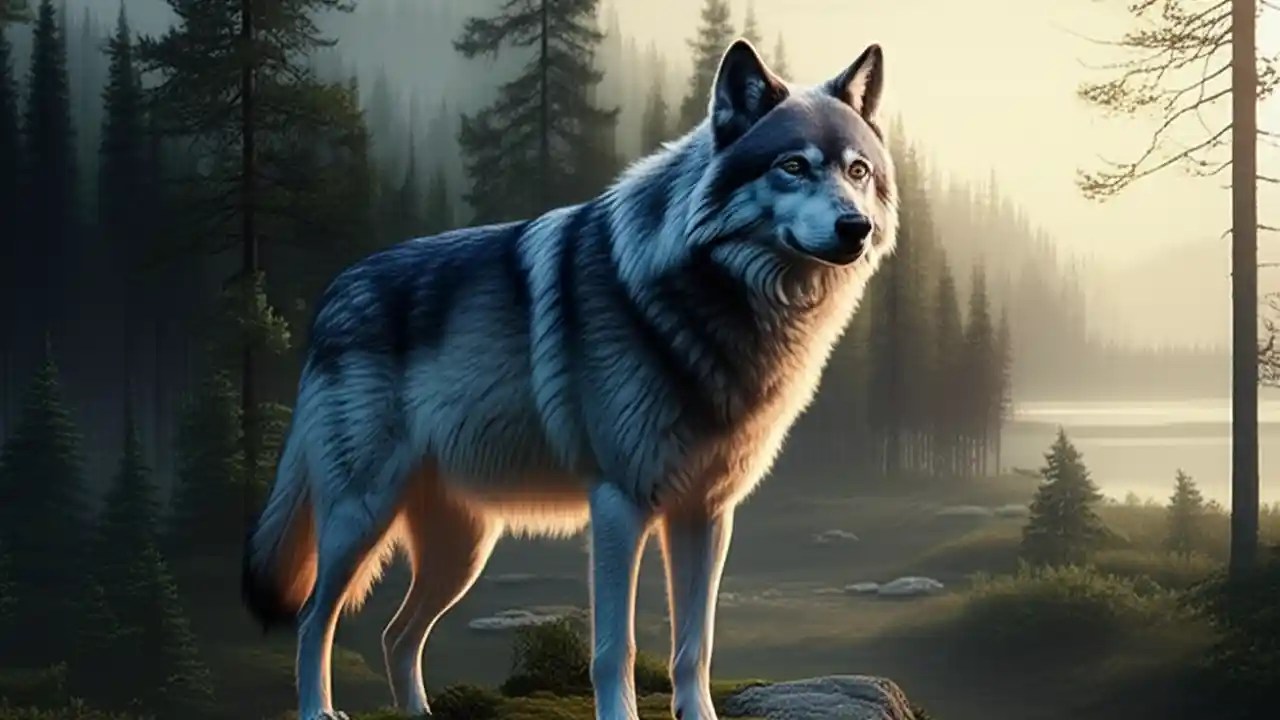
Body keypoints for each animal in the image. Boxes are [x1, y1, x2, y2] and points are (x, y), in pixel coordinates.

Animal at [242, 38, 898, 720]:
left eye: (857, 171)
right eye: (794, 166)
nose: (856, 227)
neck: (717, 302)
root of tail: (333, 293)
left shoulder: (708, 513)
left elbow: (696, 645)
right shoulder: (618, 505)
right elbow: (616, 648)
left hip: (463, 551)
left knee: (397, 633)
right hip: (360, 518)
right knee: (314, 618)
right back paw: (318, 708)